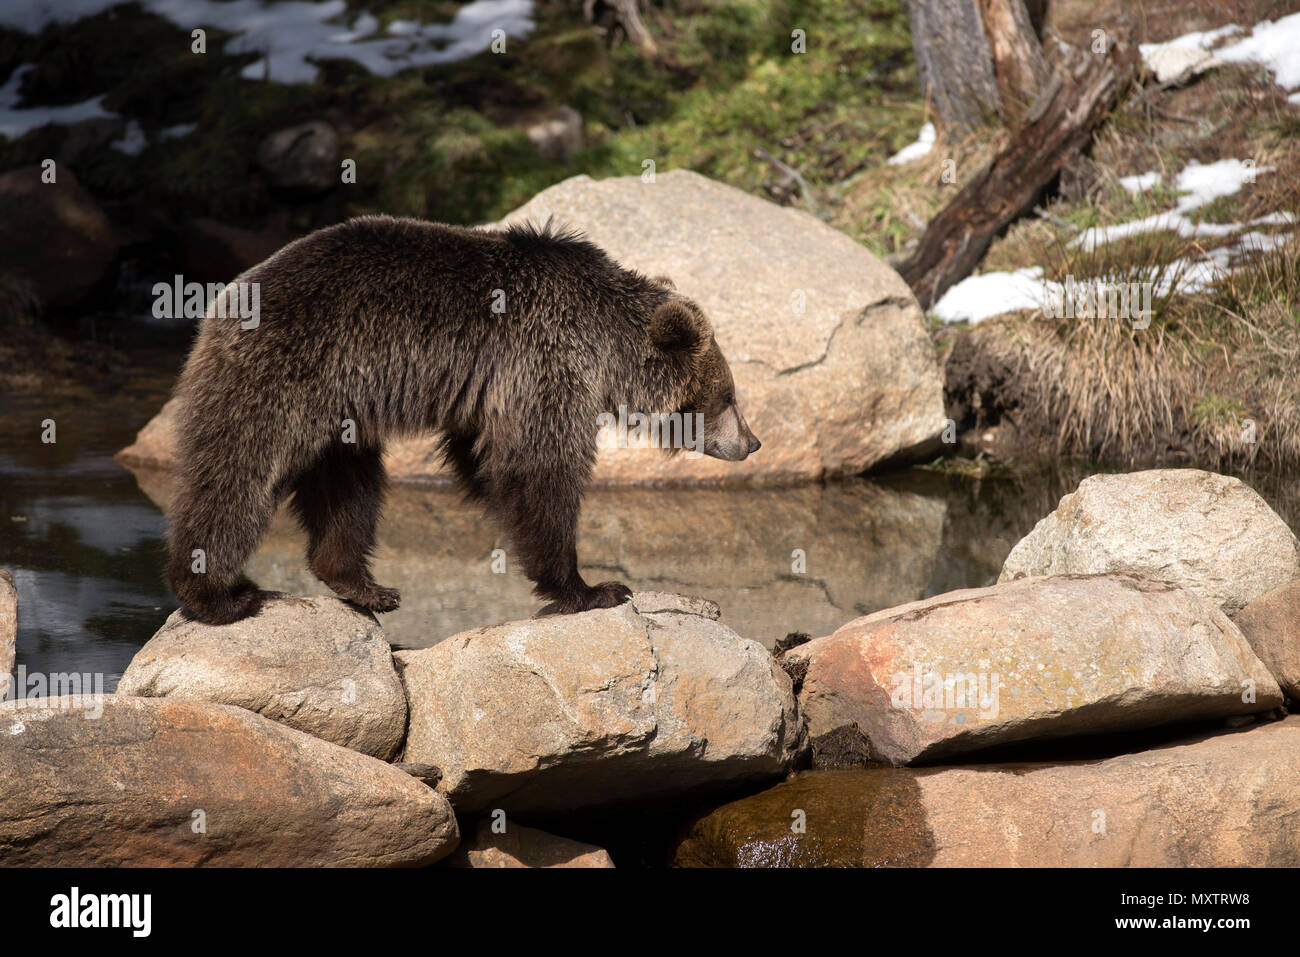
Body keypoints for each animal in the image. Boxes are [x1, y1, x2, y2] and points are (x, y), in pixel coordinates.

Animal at [164, 216, 760, 625]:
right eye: (728, 396)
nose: (752, 442)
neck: (604, 346)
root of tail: (225, 297)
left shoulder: (495, 385)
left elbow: (485, 459)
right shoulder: (545, 359)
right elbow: (539, 468)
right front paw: (593, 589)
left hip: (341, 414)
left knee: (349, 490)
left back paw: (365, 585)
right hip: (284, 376)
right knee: (236, 475)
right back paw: (219, 595)